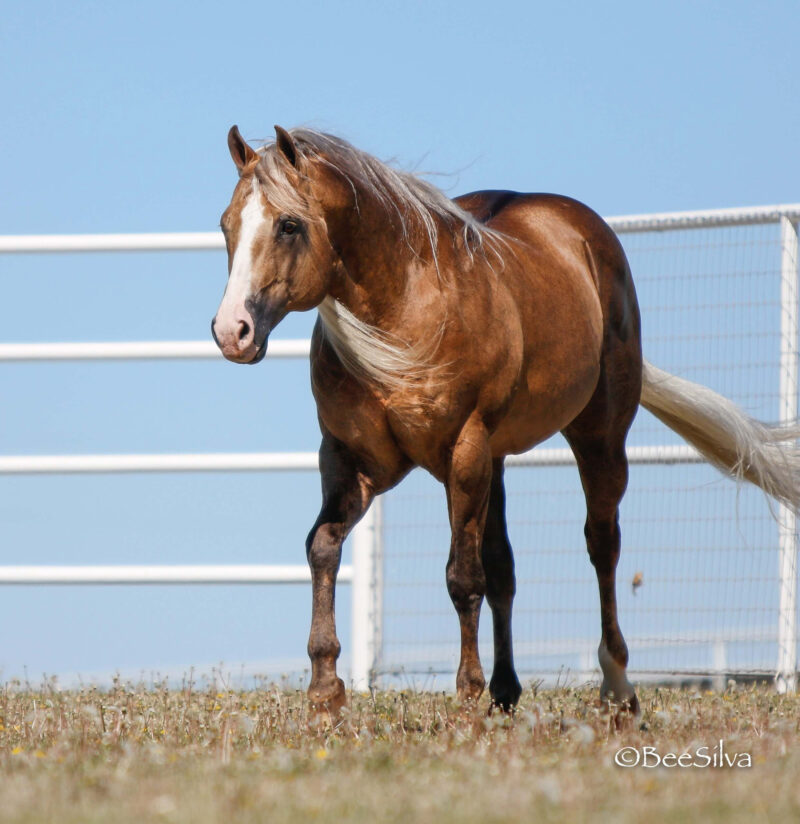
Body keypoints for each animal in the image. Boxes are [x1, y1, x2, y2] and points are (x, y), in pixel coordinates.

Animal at [212, 125, 800, 715]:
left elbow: (462, 576)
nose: (231, 332)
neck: (407, 311)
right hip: (494, 461)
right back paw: (506, 691)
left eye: (288, 225)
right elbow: (324, 547)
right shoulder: (351, 458)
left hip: (597, 437)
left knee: (602, 545)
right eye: (226, 224)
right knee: (505, 566)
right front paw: (325, 692)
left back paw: (617, 692)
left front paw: (466, 693)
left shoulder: (463, 450)